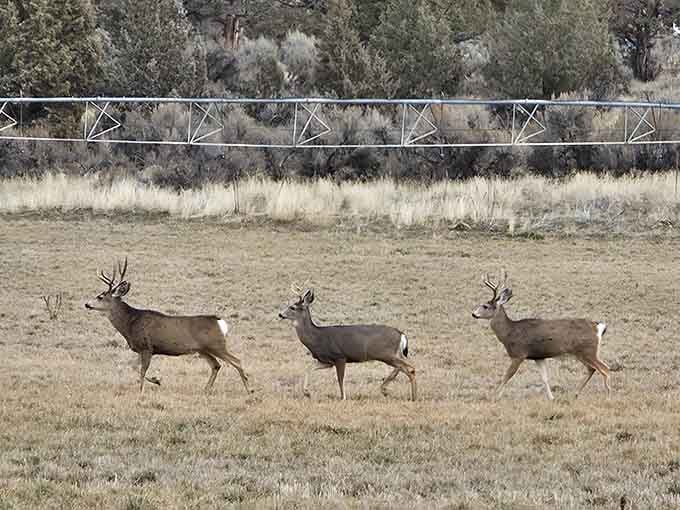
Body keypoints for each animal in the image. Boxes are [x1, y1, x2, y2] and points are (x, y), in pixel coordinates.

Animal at [84, 258, 251, 394]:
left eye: (100, 296)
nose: (86, 304)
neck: (130, 323)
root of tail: (220, 322)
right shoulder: (141, 349)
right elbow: (134, 367)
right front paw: (157, 380)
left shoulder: (147, 347)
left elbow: (142, 370)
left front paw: (142, 390)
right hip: (203, 349)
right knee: (216, 365)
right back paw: (205, 389)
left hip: (216, 344)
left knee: (237, 361)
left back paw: (249, 390)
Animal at [278, 286, 417, 401]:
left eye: (292, 307)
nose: (280, 314)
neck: (317, 337)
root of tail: (401, 334)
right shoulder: (327, 361)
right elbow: (308, 367)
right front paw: (307, 392)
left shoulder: (340, 356)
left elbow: (340, 379)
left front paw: (343, 397)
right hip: (394, 353)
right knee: (402, 367)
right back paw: (386, 390)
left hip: (386, 353)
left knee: (409, 368)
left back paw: (412, 396)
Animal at [471, 271, 611, 400]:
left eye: (485, 306)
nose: (473, 314)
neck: (509, 333)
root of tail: (598, 327)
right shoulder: (538, 357)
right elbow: (544, 378)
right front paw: (551, 398)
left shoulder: (519, 354)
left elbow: (506, 376)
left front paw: (494, 396)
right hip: (581, 352)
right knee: (592, 369)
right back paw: (575, 394)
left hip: (588, 350)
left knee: (605, 369)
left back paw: (608, 395)